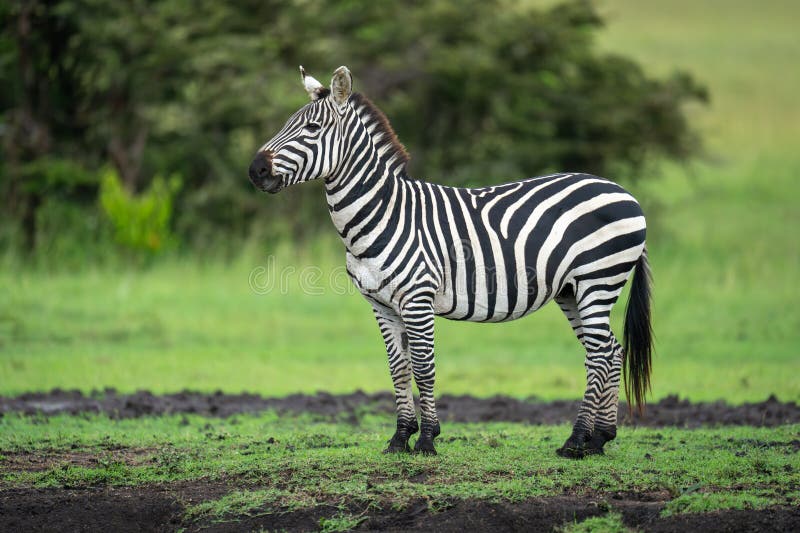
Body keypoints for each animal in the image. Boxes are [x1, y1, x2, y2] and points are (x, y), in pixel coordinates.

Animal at [249, 66, 653, 458]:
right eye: (286, 123)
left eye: (312, 129)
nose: (255, 171)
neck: (382, 213)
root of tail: (625, 193)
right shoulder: (380, 304)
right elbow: (398, 369)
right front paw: (400, 438)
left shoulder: (417, 298)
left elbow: (424, 367)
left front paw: (427, 439)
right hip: (571, 290)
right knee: (610, 351)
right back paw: (599, 439)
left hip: (598, 280)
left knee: (599, 355)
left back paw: (576, 441)